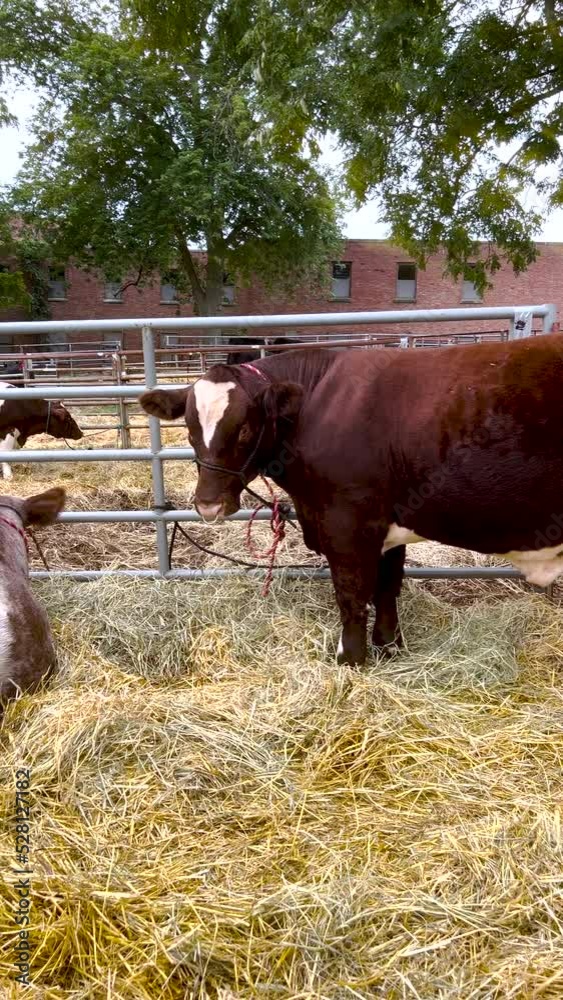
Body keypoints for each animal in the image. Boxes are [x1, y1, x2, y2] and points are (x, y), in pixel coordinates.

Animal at [140, 334, 563, 667]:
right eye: (189, 429)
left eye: (243, 428)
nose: (208, 505)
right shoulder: (388, 520)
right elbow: (388, 587)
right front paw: (389, 646)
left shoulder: (346, 521)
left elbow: (351, 593)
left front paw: (351, 659)